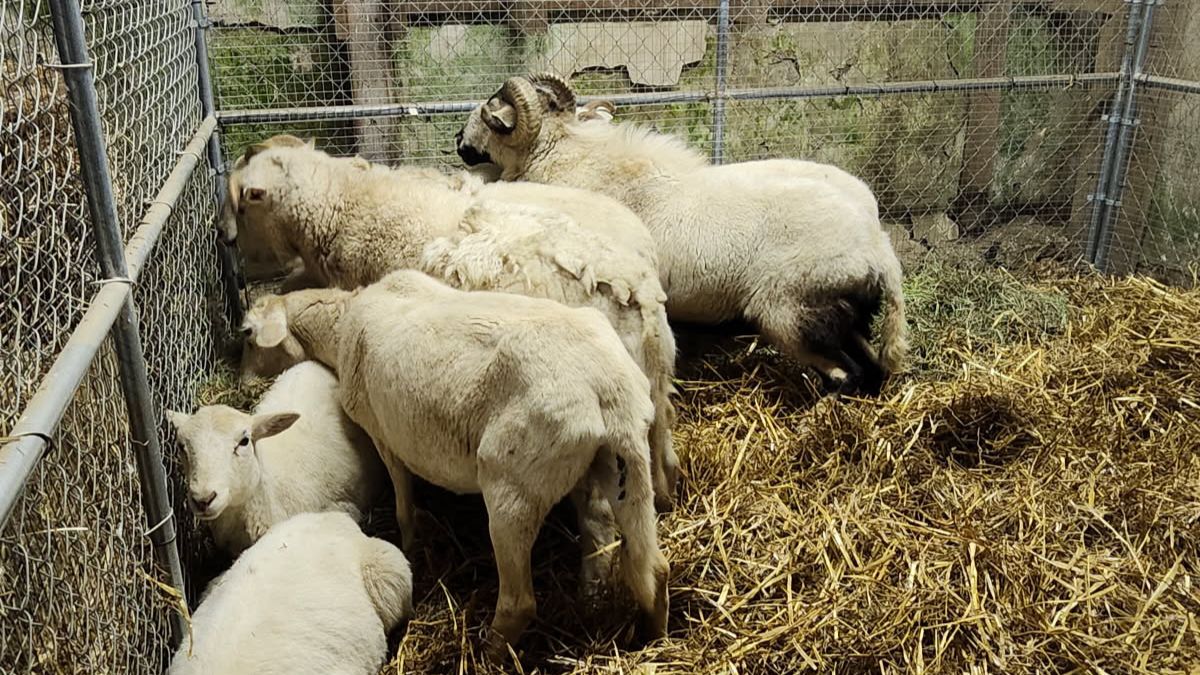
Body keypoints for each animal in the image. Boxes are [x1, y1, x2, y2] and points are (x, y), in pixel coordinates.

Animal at [243, 270, 671, 654]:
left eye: (247, 334)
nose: (245, 381)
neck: (342, 323)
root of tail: (609, 385)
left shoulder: (383, 434)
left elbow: (402, 503)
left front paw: (410, 545)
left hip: (514, 482)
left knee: (519, 602)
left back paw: (490, 652)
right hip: (611, 462)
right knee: (643, 560)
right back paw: (645, 631)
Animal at [456, 73, 911, 394]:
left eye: (490, 115)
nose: (458, 140)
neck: (570, 161)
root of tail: (880, 254)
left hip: (791, 312)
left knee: (846, 374)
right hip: (846, 316)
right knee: (872, 371)